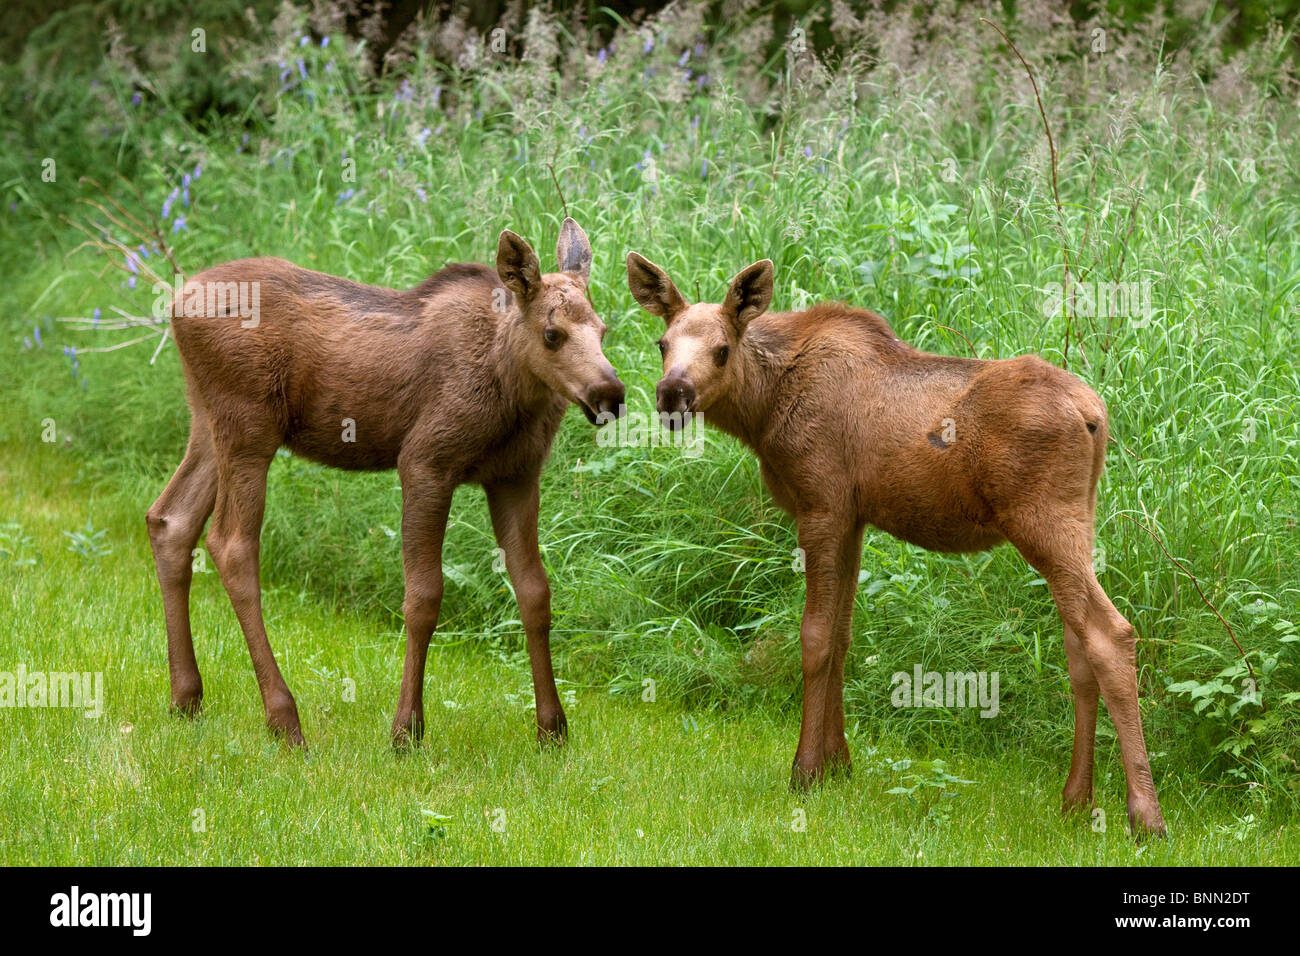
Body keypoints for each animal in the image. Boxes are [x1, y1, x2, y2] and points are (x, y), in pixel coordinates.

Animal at [146, 218, 625, 751]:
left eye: (603, 330)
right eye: (551, 333)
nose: (610, 393)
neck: (513, 388)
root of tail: (175, 302)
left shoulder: (516, 475)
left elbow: (535, 591)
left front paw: (552, 728)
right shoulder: (425, 461)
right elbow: (423, 597)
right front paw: (406, 730)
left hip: (208, 421)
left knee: (170, 519)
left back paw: (186, 697)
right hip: (249, 427)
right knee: (231, 544)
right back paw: (284, 718)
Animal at [626, 252, 1166, 837]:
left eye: (722, 349)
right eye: (662, 343)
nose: (672, 394)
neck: (761, 410)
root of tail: (1096, 415)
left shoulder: (822, 507)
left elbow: (815, 638)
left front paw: (805, 771)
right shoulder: (854, 518)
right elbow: (842, 637)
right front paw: (840, 764)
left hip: (1043, 521)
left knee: (1111, 634)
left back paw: (1146, 815)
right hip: (1079, 521)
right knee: (1078, 644)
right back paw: (1075, 800)